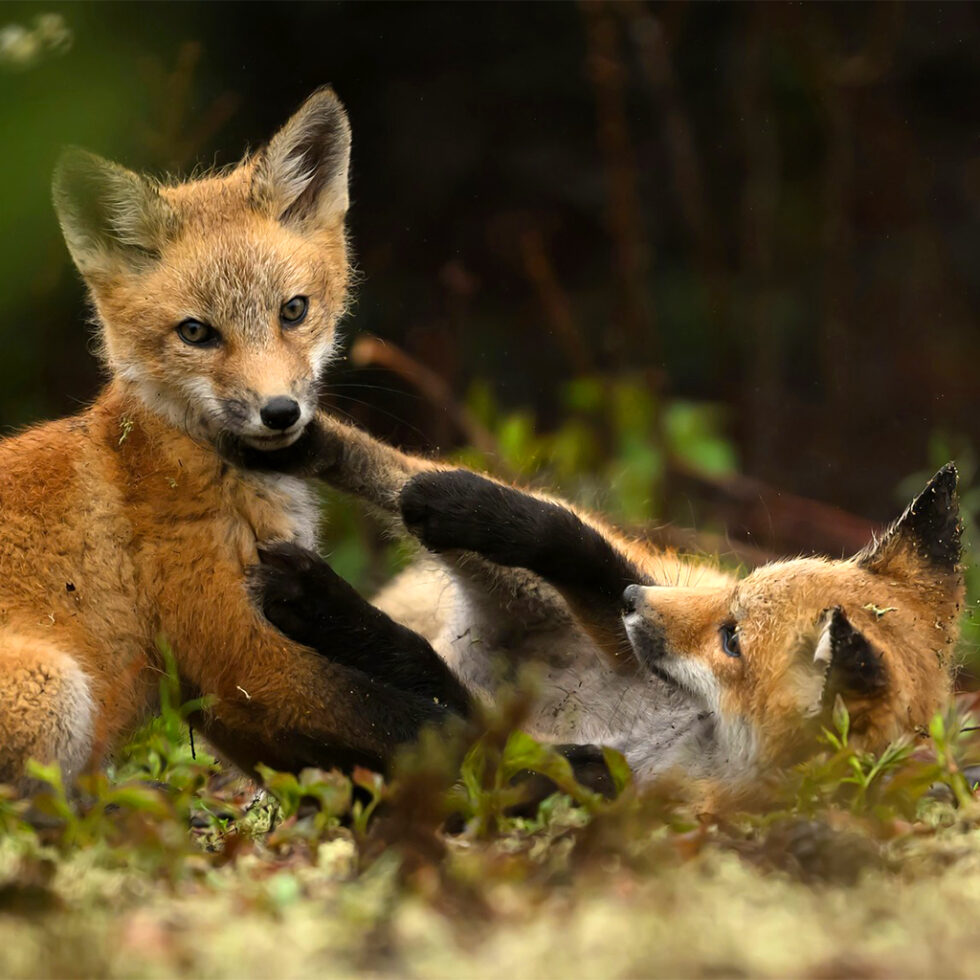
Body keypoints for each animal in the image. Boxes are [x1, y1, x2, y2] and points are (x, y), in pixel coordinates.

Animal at [0, 89, 471, 792]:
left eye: (293, 310)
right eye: (196, 332)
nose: (280, 412)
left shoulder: (220, 693)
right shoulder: (232, 651)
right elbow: (407, 716)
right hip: (54, 686)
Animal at [243, 414, 964, 788]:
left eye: (733, 639)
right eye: (732, 599)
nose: (635, 601)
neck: (687, 728)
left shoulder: (588, 778)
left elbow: (442, 695)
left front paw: (325, 606)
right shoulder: (622, 629)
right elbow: (570, 539)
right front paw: (470, 506)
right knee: (383, 468)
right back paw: (302, 438)